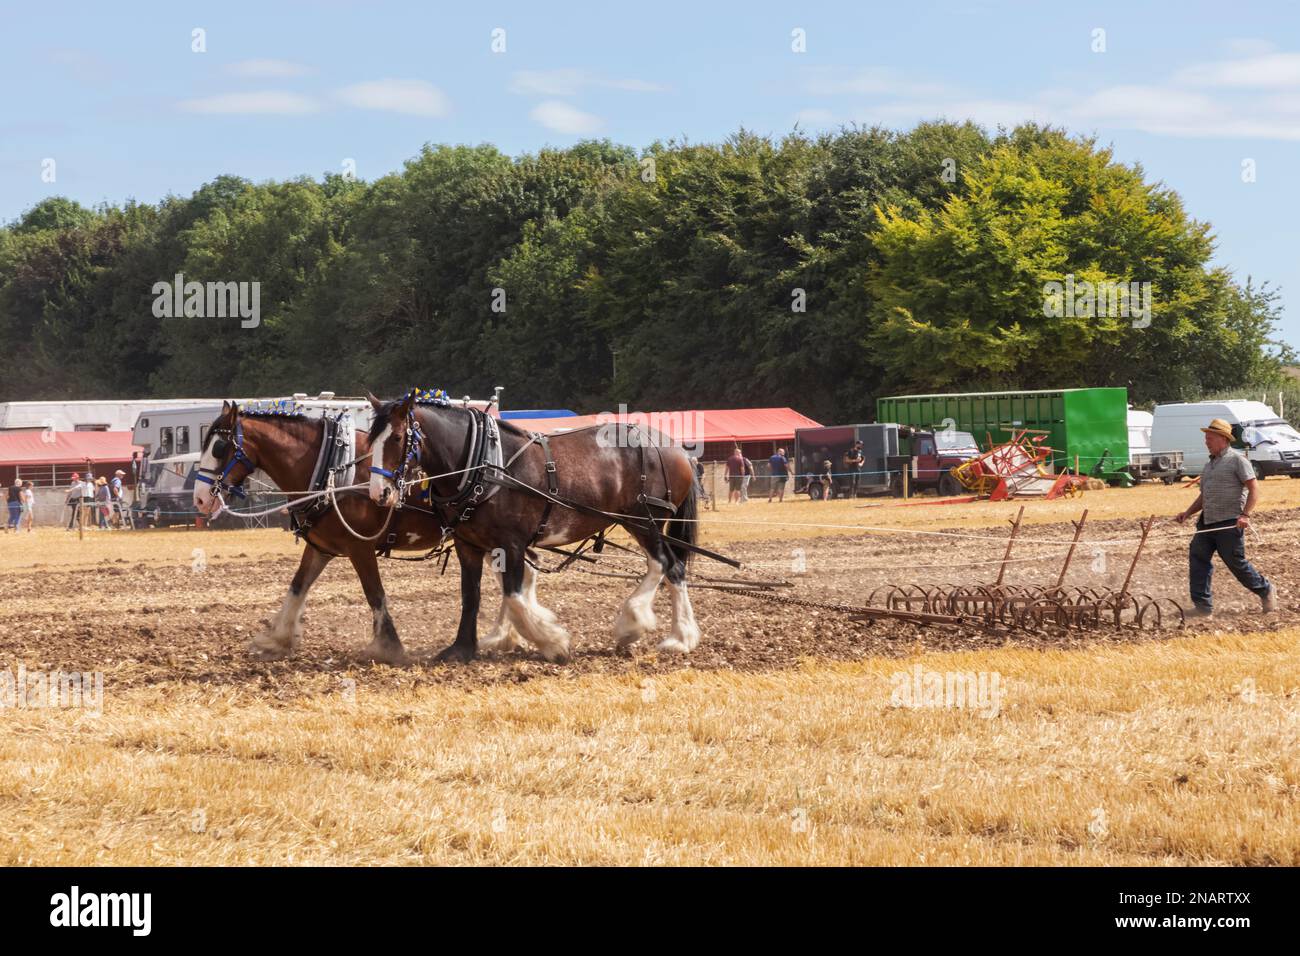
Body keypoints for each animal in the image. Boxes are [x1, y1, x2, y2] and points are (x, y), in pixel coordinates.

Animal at [191, 400, 523, 663]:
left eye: (219, 448)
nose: (200, 498)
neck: (329, 470)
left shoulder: (359, 547)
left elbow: (374, 592)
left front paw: (389, 647)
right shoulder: (321, 547)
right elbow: (297, 587)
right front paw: (277, 639)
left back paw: (506, 634)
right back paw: (506, 635)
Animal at [366, 390, 703, 663]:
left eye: (397, 438)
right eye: (371, 440)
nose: (378, 493)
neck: (483, 464)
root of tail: (676, 448)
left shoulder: (512, 543)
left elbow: (515, 596)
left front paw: (553, 642)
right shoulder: (468, 544)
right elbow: (471, 596)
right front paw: (462, 649)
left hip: (645, 521)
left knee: (665, 565)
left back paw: (649, 630)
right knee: (671, 568)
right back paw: (675, 636)